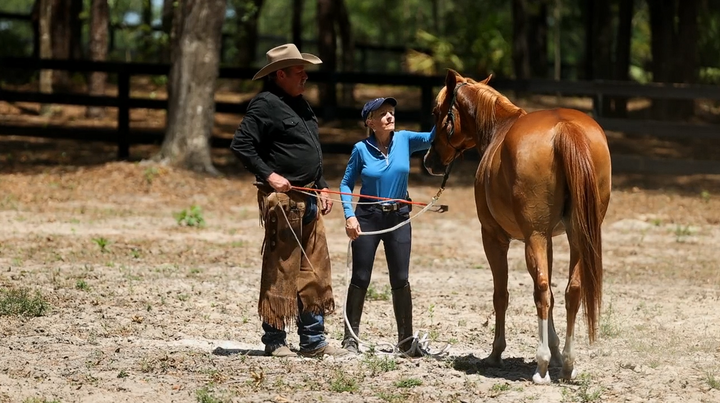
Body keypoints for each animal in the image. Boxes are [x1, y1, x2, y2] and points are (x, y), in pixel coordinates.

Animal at [424, 69, 611, 384]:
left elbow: (501, 295)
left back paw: (541, 366)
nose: (430, 160)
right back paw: (568, 364)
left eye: (437, 112)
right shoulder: (547, 239)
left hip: (535, 238)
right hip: (577, 235)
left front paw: (496, 353)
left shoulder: (495, 238)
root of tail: (566, 128)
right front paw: (556, 351)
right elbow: (551, 290)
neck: (500, 130)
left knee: (542, 292)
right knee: (571, 291)